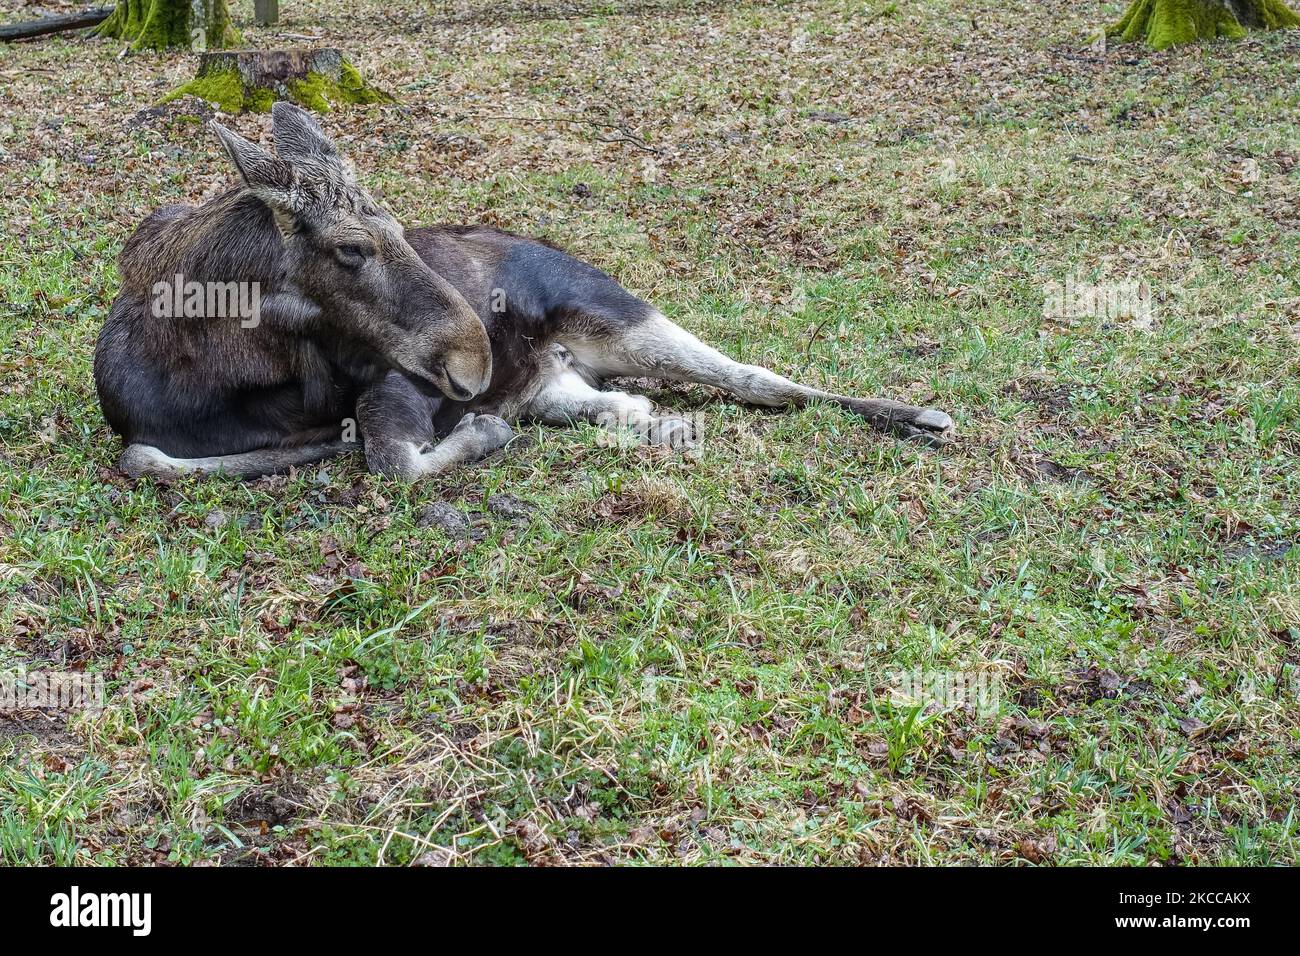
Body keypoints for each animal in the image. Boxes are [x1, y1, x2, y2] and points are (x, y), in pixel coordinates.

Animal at [94, 103, 954, 482]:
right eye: (351, 247)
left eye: (401, 227)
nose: (474, 361)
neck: (213, 376)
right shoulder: (148, 437)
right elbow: (145, 457)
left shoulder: (398, 384)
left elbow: (394, 458)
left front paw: (476, 434)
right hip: (559, 387)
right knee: (629, 405)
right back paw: (661, 427)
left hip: (624, 316)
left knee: (762, 381)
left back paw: (920, 414)